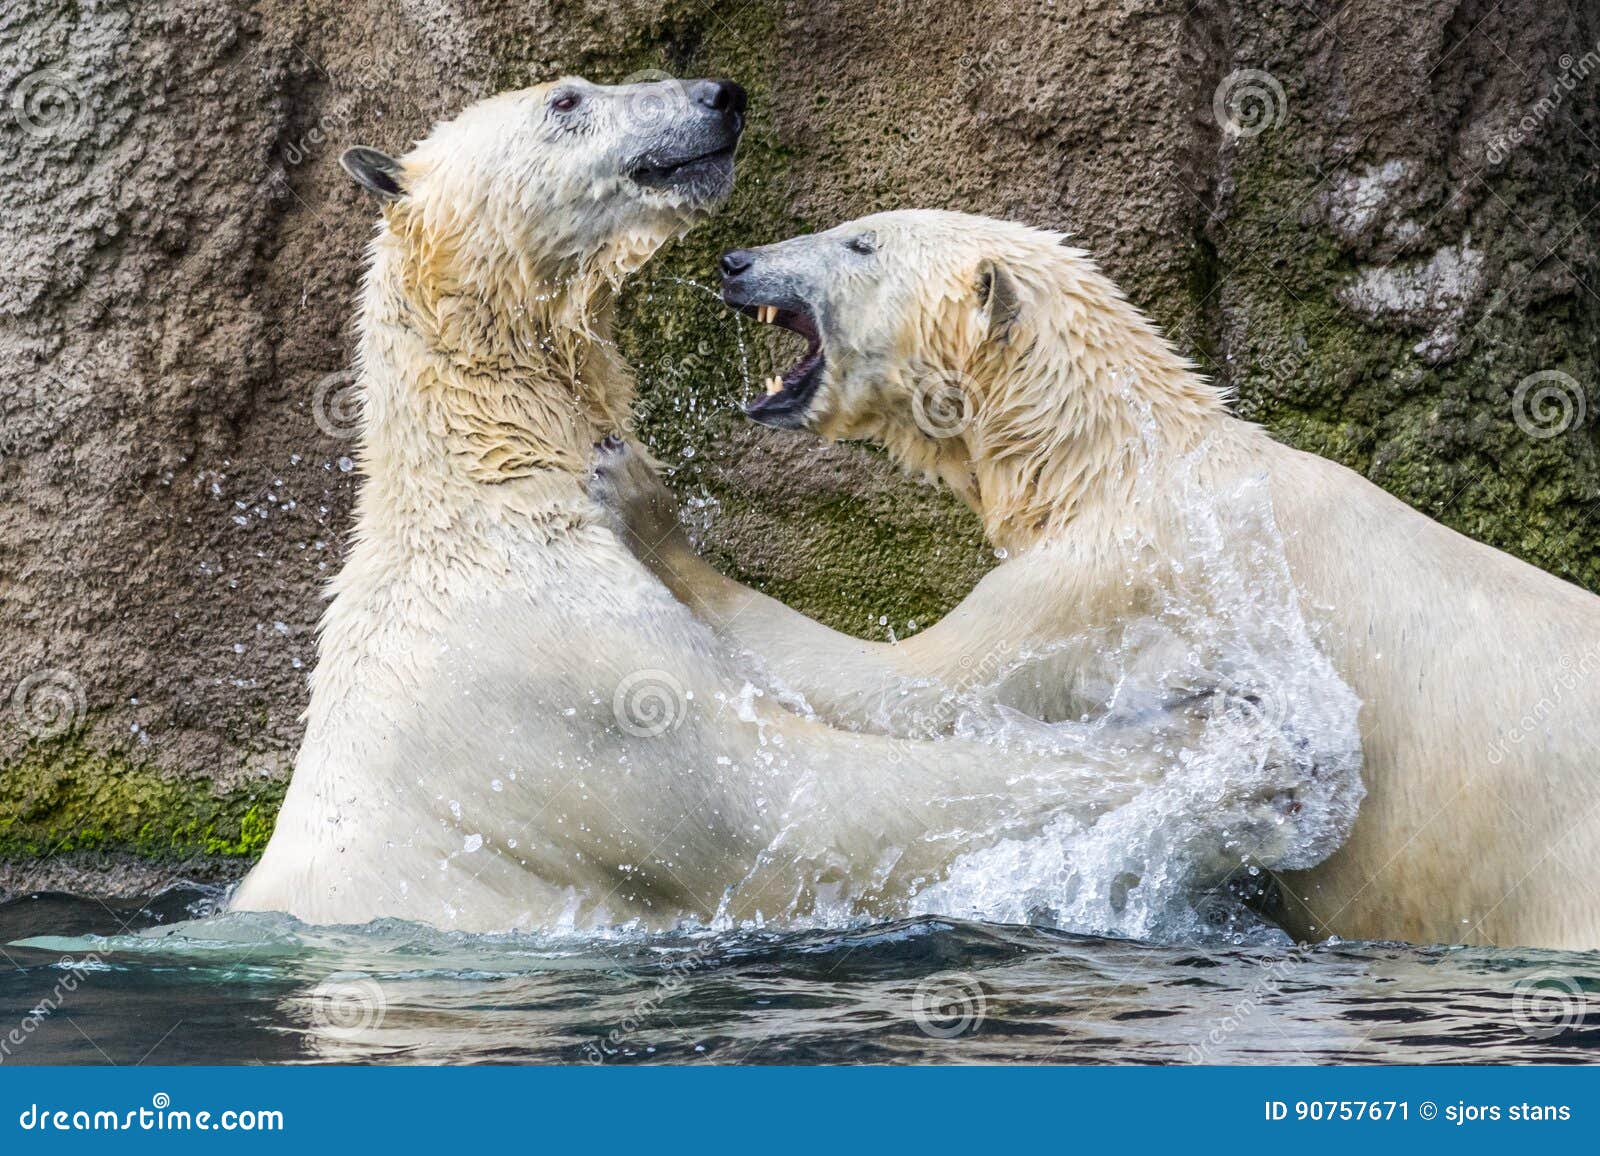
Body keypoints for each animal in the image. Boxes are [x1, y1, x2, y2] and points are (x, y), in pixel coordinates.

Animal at [228, 90, 1321, 935]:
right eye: (566, 99)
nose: (720, 94)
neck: (490, 494)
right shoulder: (570, 696)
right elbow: (795, 799)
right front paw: (1236, 751)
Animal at [595, 209, 1600, 951]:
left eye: (861, 242)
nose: (735, 259)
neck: (1114, 459)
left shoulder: (1109, 578)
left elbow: (914, 692)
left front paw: (639, 495)